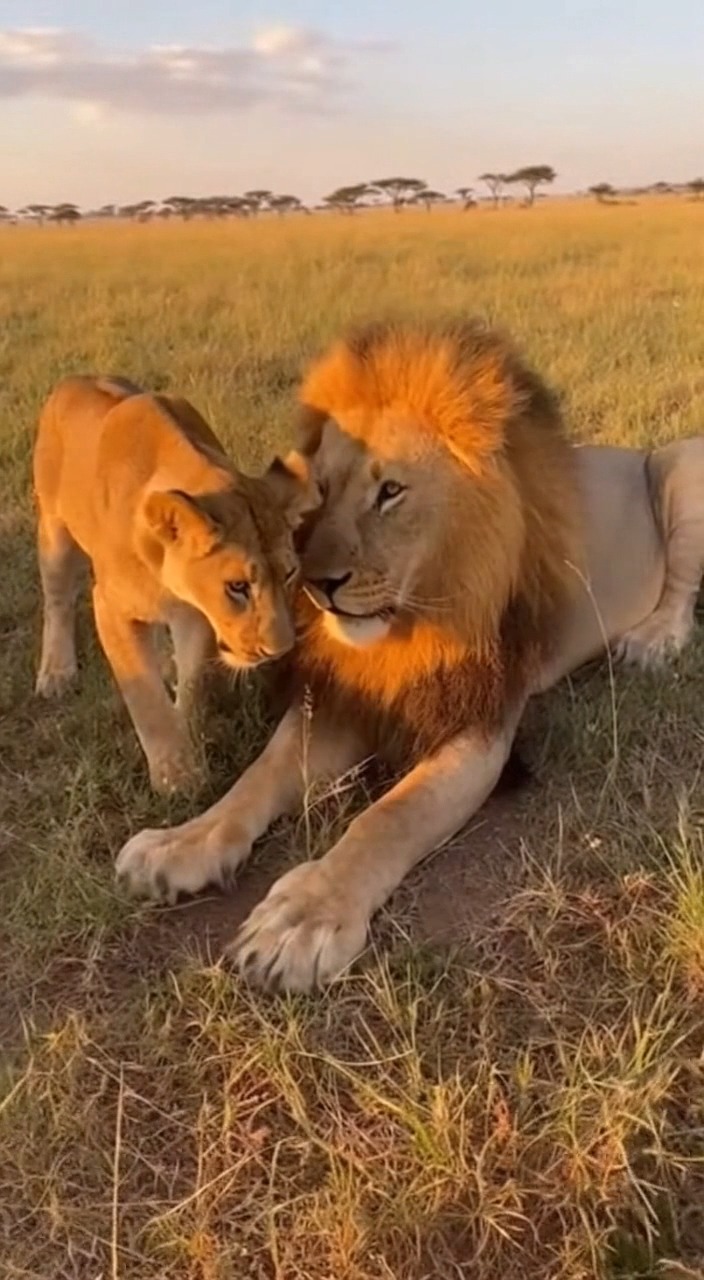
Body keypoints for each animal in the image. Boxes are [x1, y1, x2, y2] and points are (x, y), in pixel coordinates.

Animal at [33, 375, 312, 793]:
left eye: (290, 574)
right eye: (237, 586)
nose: (277, 651)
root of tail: (73, 380)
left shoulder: (193, 614)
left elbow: (194, 682)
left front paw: (188, 729)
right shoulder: (111, 607)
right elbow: (146, 697)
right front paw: (177, 778)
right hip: (54, 530)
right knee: (58, 601)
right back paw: (55, 674)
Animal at [115, 320, 704, 981]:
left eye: (391, 491)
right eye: (320, 491)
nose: (317, 583)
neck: (410, 626)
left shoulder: (479, 727)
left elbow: (388, 818)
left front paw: (303, 917)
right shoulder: (342, 698)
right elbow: (256, 778)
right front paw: (178, 844)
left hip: (681, 465)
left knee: (681, 593)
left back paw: (651, 641)